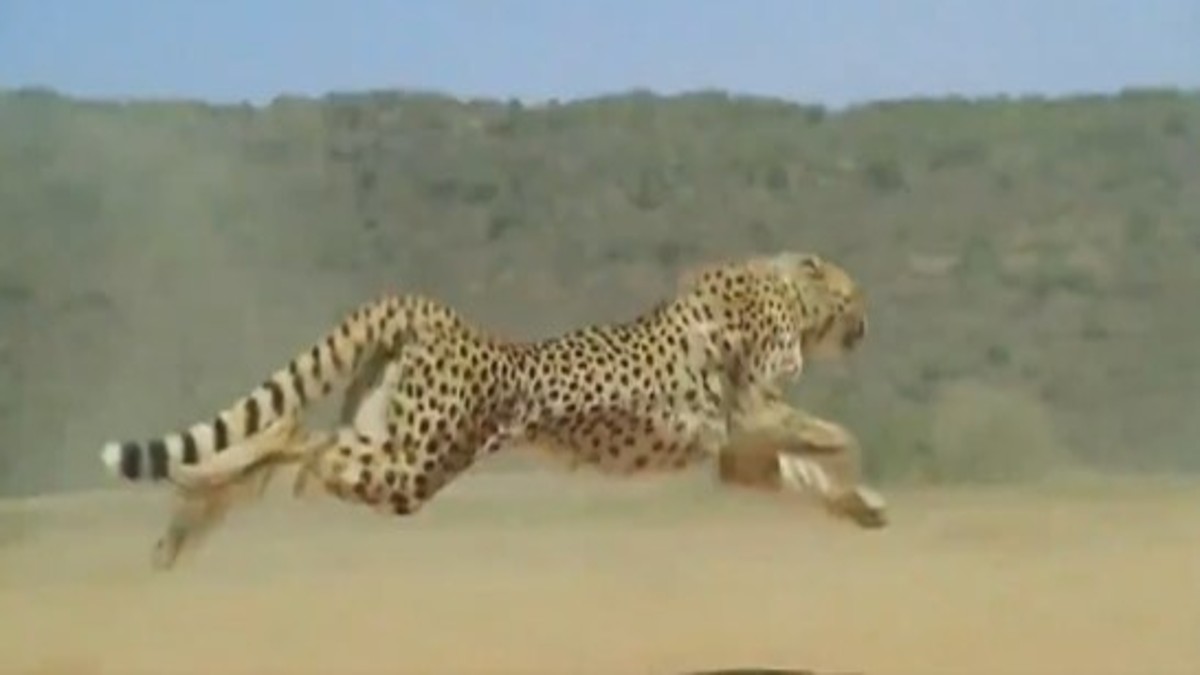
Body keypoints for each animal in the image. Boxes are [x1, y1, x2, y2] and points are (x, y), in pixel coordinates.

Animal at [99, 250, 887, 568]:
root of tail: (427, 308)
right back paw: (203, 498)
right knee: (306, 446)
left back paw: (191, 508)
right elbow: (835, 435)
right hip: (413, 467)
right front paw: (859, 480)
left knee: (293, 428)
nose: (866, 327)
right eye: (855, 297)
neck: (788, 292)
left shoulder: (735, 451)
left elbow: (797, 472)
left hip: (391, 437)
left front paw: (860, 508)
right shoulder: (747, 411)